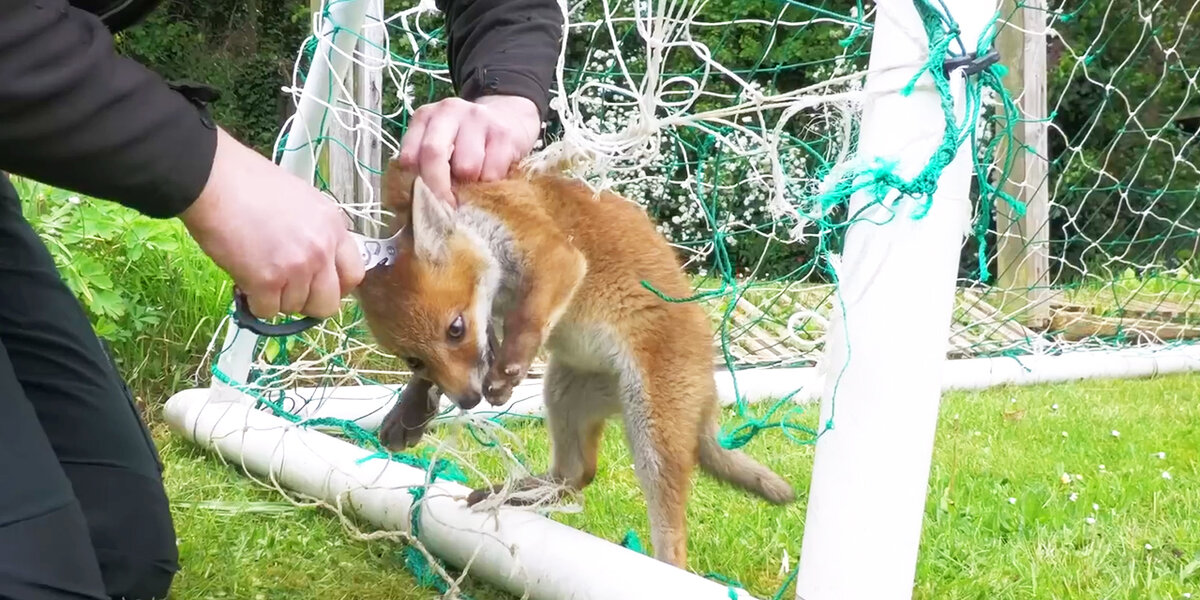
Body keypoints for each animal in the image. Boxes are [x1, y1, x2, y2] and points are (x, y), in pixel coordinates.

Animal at [354, 158, 796, 568]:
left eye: (455, 329)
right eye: (415, 360)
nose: (467, 400)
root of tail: (709, 378)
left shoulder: (554, 256)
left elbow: (529, 319)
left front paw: (508, 368)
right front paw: (411, 411)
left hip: (651, 435)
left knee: (668, 537)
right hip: (563, 395)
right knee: (576, 476)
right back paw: (515, 493)